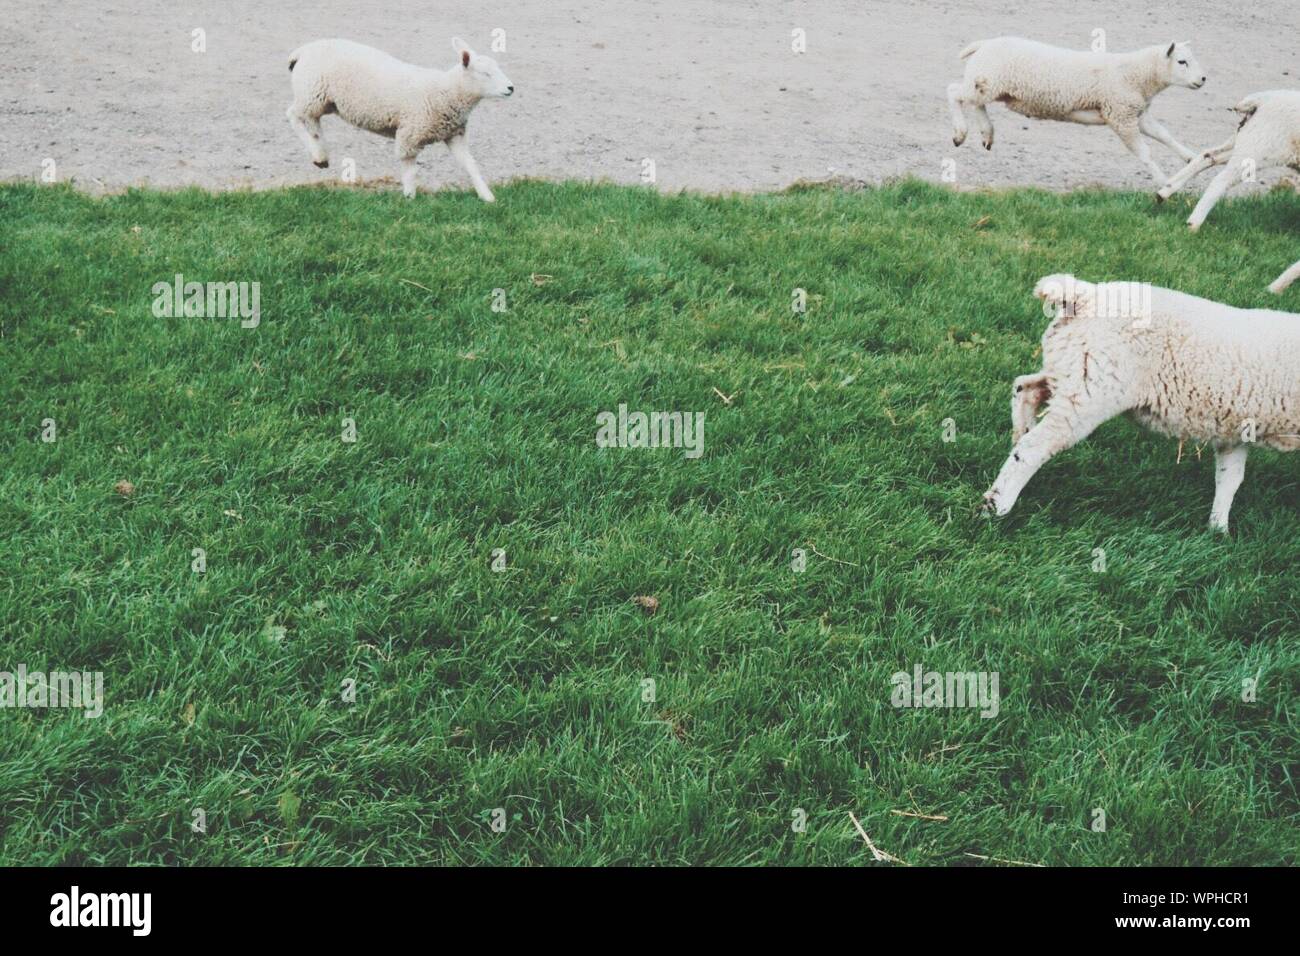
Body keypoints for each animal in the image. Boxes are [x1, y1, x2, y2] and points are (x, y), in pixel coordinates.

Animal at [287, 37, 513, 201]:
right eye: (485, 73)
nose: (511, 88)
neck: (446, 92)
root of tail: (302, 51)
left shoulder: (454, 134)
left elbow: (470, 165)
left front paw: (487, 196)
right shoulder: (409, 134)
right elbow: (411, 171)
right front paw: (410, 198)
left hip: (324, 100)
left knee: (311, 121)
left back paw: (321, 154)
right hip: (312, 93)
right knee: (293, 115)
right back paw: (318, 153)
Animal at [947, 38, 1207, 183]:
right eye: (1182, 62)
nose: (1203, 78)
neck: (1139, 74)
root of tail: (985, 43)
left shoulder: (1136, 114)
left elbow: (1165, 135)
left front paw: (1191, 157)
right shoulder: (1120, 115)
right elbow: (1145, 153)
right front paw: (1164, 182)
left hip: (991, 86)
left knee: (976, 102)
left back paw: (987, 133)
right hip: (988, 82)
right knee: (954, 93)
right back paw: (960, 133)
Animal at [983, 274, 1300, 533]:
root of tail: (1084, 295)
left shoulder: (1235, 429)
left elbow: (1229, 479)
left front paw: (1218, 531)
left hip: (1070, 371)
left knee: (1025, 389)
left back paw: (1019, 436)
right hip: (1090, 391)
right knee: (1034, 447)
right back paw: (996, 506)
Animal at [1156, 90, 1300, 231]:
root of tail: (1262, 99)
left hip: (1244, 140)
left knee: (1207, 156)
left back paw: (1164, 192)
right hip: (1260, 148)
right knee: (1220, 180)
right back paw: (1193, 224)